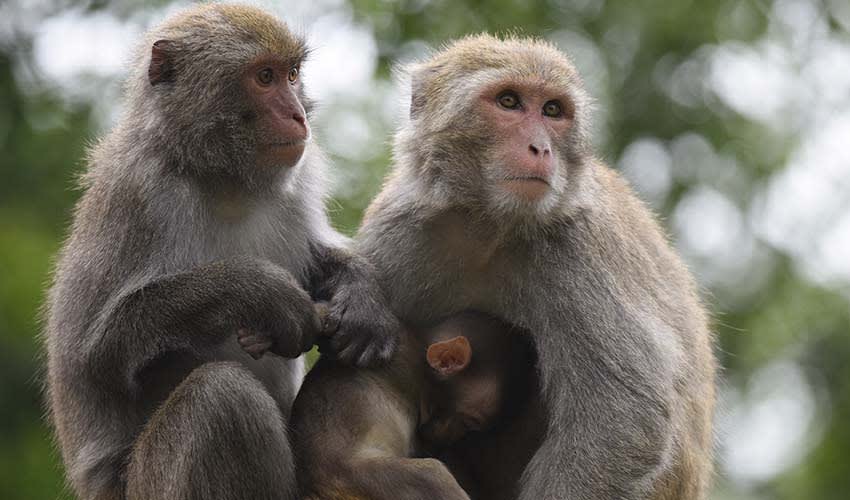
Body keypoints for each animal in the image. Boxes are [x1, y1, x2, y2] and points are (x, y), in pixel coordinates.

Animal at [43, 5, 399, 500]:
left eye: (292, 74)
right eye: (264, 77)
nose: (297, 115)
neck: (222, 179)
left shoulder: (300, 177)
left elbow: (317, 256)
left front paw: (362, 297)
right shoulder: (134, 193)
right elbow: (94, 355)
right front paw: (259, 291)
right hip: (142, 484)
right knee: (221, 396)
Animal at [357, 34, 717, 500]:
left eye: (552, 110)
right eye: (509, 101)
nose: (541, 148)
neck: (489, 228)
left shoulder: (579, 252)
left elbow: (623, 417)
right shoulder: (395, 235)